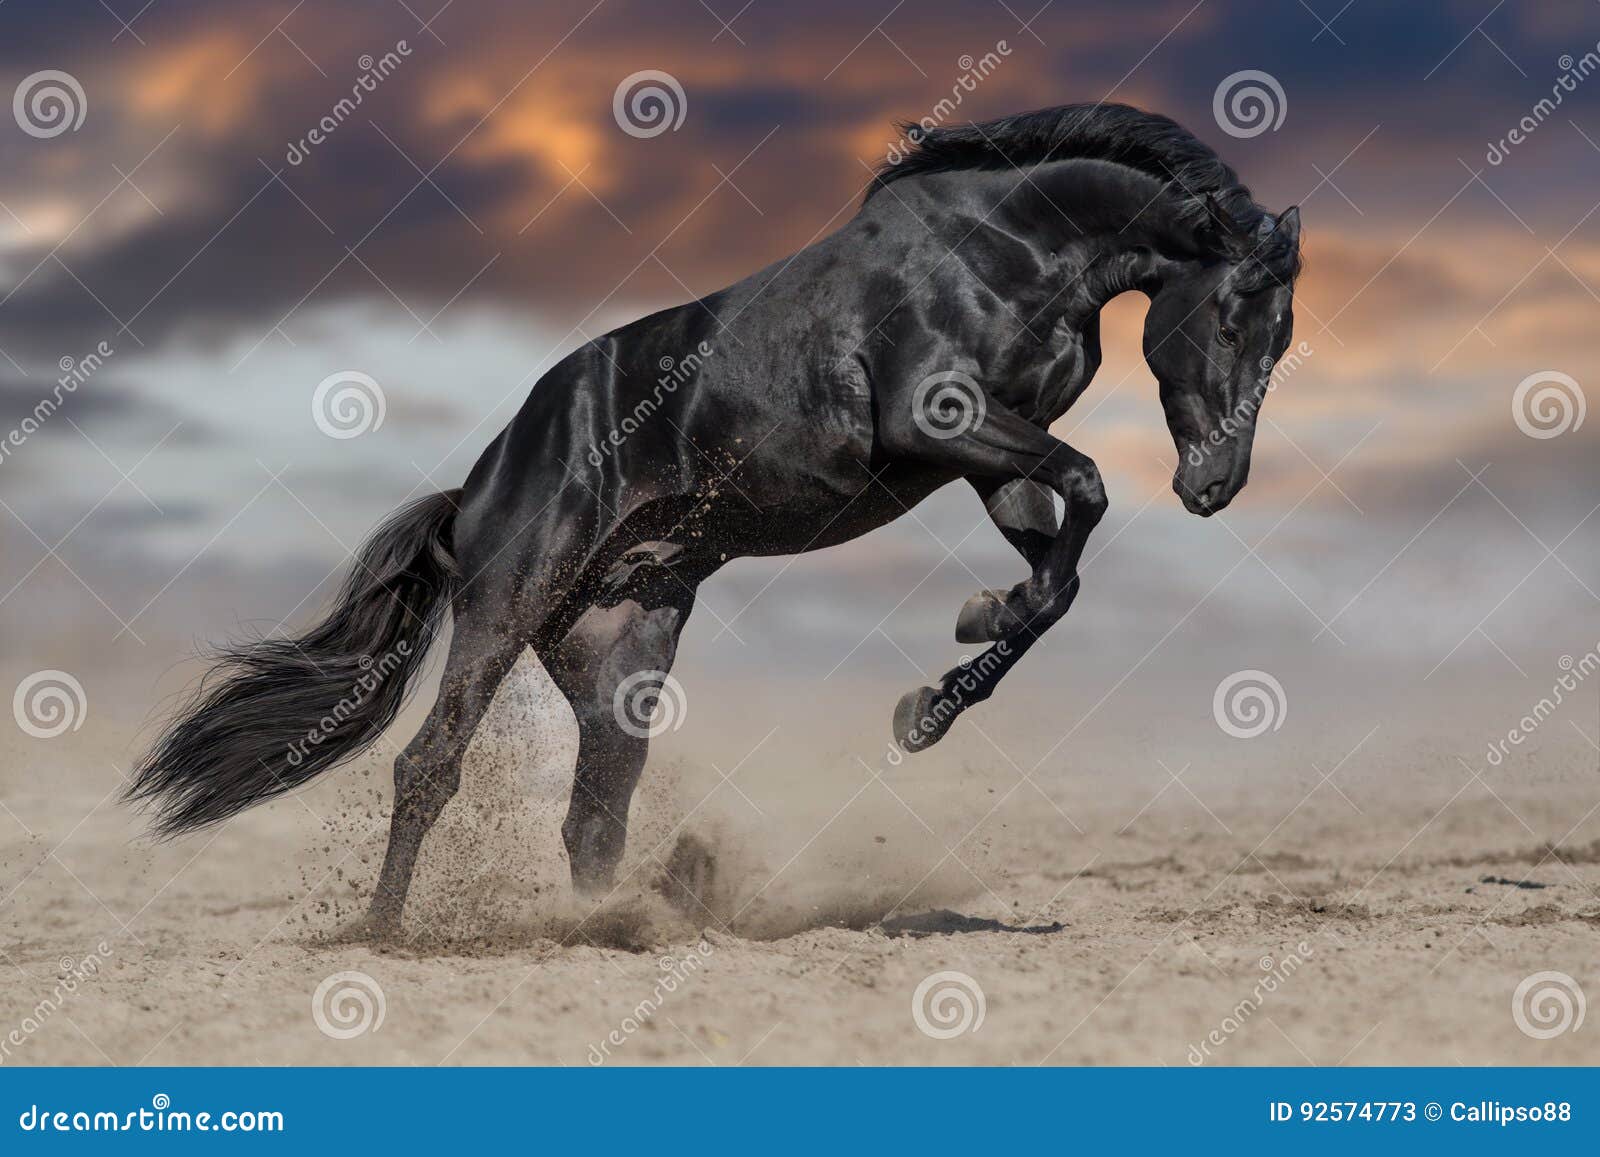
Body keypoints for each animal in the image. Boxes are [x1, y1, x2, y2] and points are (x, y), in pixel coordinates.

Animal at [125, 102, 1303, 936]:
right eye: (1234, 318)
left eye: (1283, 336)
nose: (1214, 485)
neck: (1001, 250)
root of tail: (476, 487)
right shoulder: (945, 418)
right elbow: (1089, 493)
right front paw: (949, 669)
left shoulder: (987, 458)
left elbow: (1058, 572)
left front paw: (937, 688)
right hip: (507, 607)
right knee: (430, 767)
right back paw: (381, 934)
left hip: (622, 648)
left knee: (596, 809)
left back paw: (611, 924)